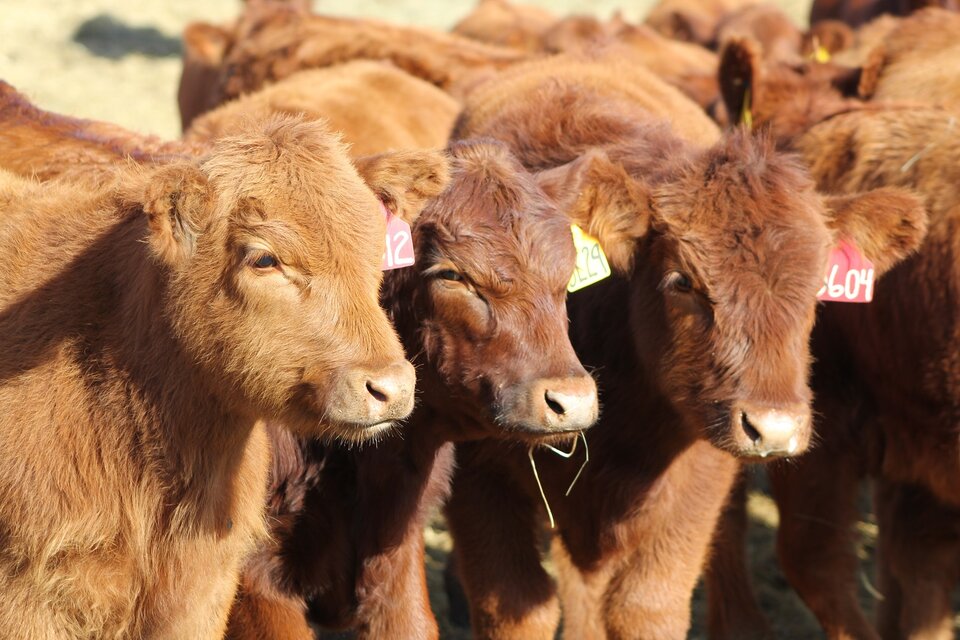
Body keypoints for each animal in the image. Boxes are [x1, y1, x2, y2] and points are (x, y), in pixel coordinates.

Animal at [442, 54, 927, 639]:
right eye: (682, 282)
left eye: (818, 288)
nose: (774, 428)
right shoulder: (479, 476)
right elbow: (516, 604)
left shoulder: (700, 475)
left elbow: (646, 604)